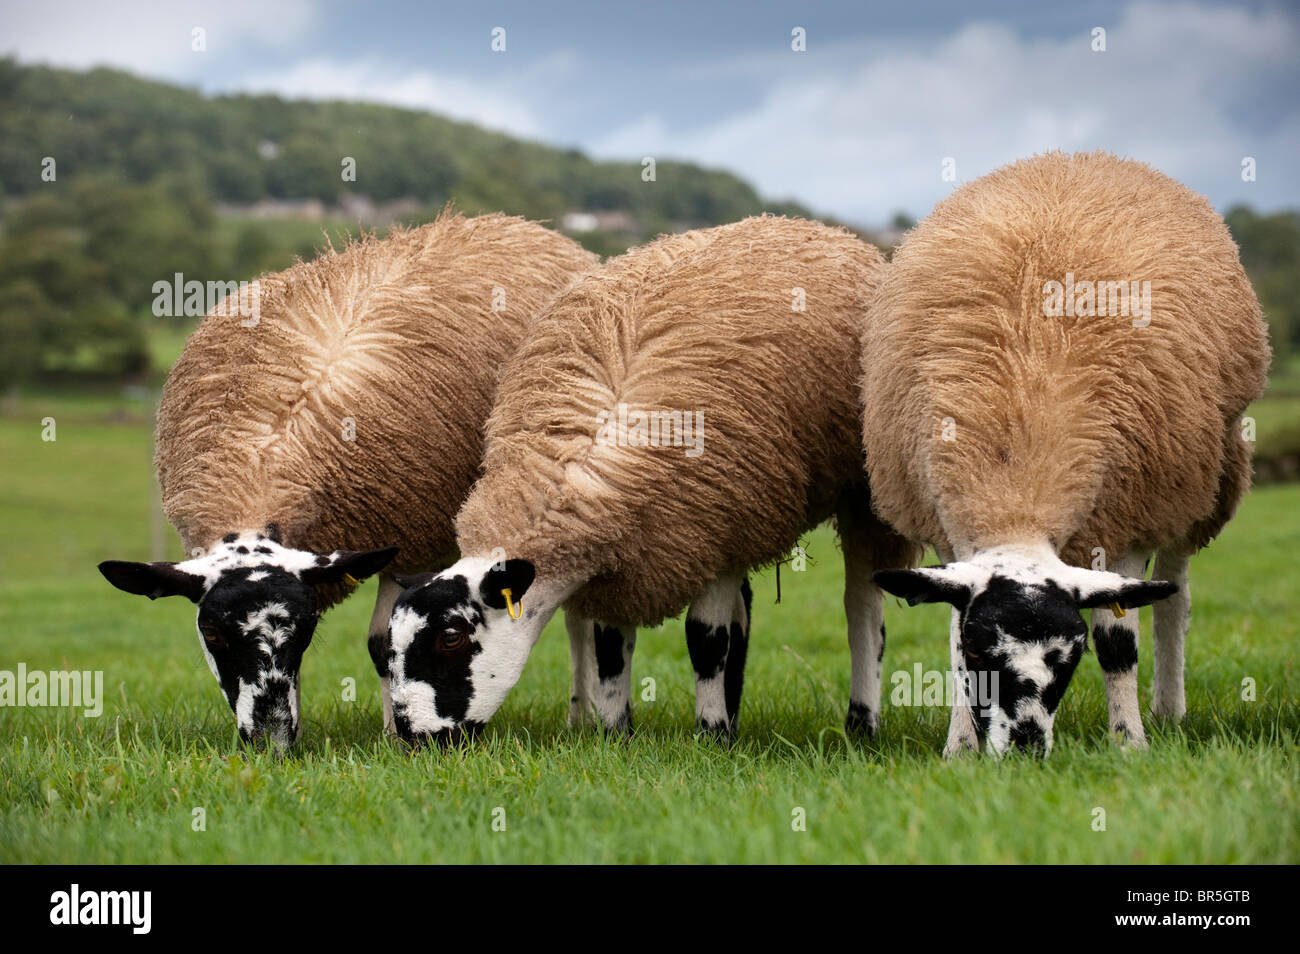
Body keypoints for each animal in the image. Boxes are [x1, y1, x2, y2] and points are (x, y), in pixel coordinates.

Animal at [98, 211, 598, 749]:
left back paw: (583, 714)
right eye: (212, 634)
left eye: (306, 630)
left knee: (579, 618)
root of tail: (515, 223)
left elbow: (383, 643)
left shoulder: (415, 541)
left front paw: (395, 737)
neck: (258, 480)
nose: (270, 743)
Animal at [379, 215, 919, 747]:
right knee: (746, 612)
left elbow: (706, 641)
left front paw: (710, 736)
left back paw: (860, 724)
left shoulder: (716, 535)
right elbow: (610, 648)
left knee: (862, 614)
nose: (411, 738)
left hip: (858, 497)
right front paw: (616, 734)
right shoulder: (624, 559)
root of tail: (819, 228)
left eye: (451, 637)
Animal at [862, 152, 1271, 756]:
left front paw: (1129, 744)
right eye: (982, 652)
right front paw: (958, 751)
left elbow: (1119, 645)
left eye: (1069, 655)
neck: (1016, 495)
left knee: (1173, 598)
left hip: (1194, 485)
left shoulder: (1122, 527)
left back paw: (1168, 711)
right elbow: (951, 637)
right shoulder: (948, 538)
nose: (1026, 746)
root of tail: (1076, 158)